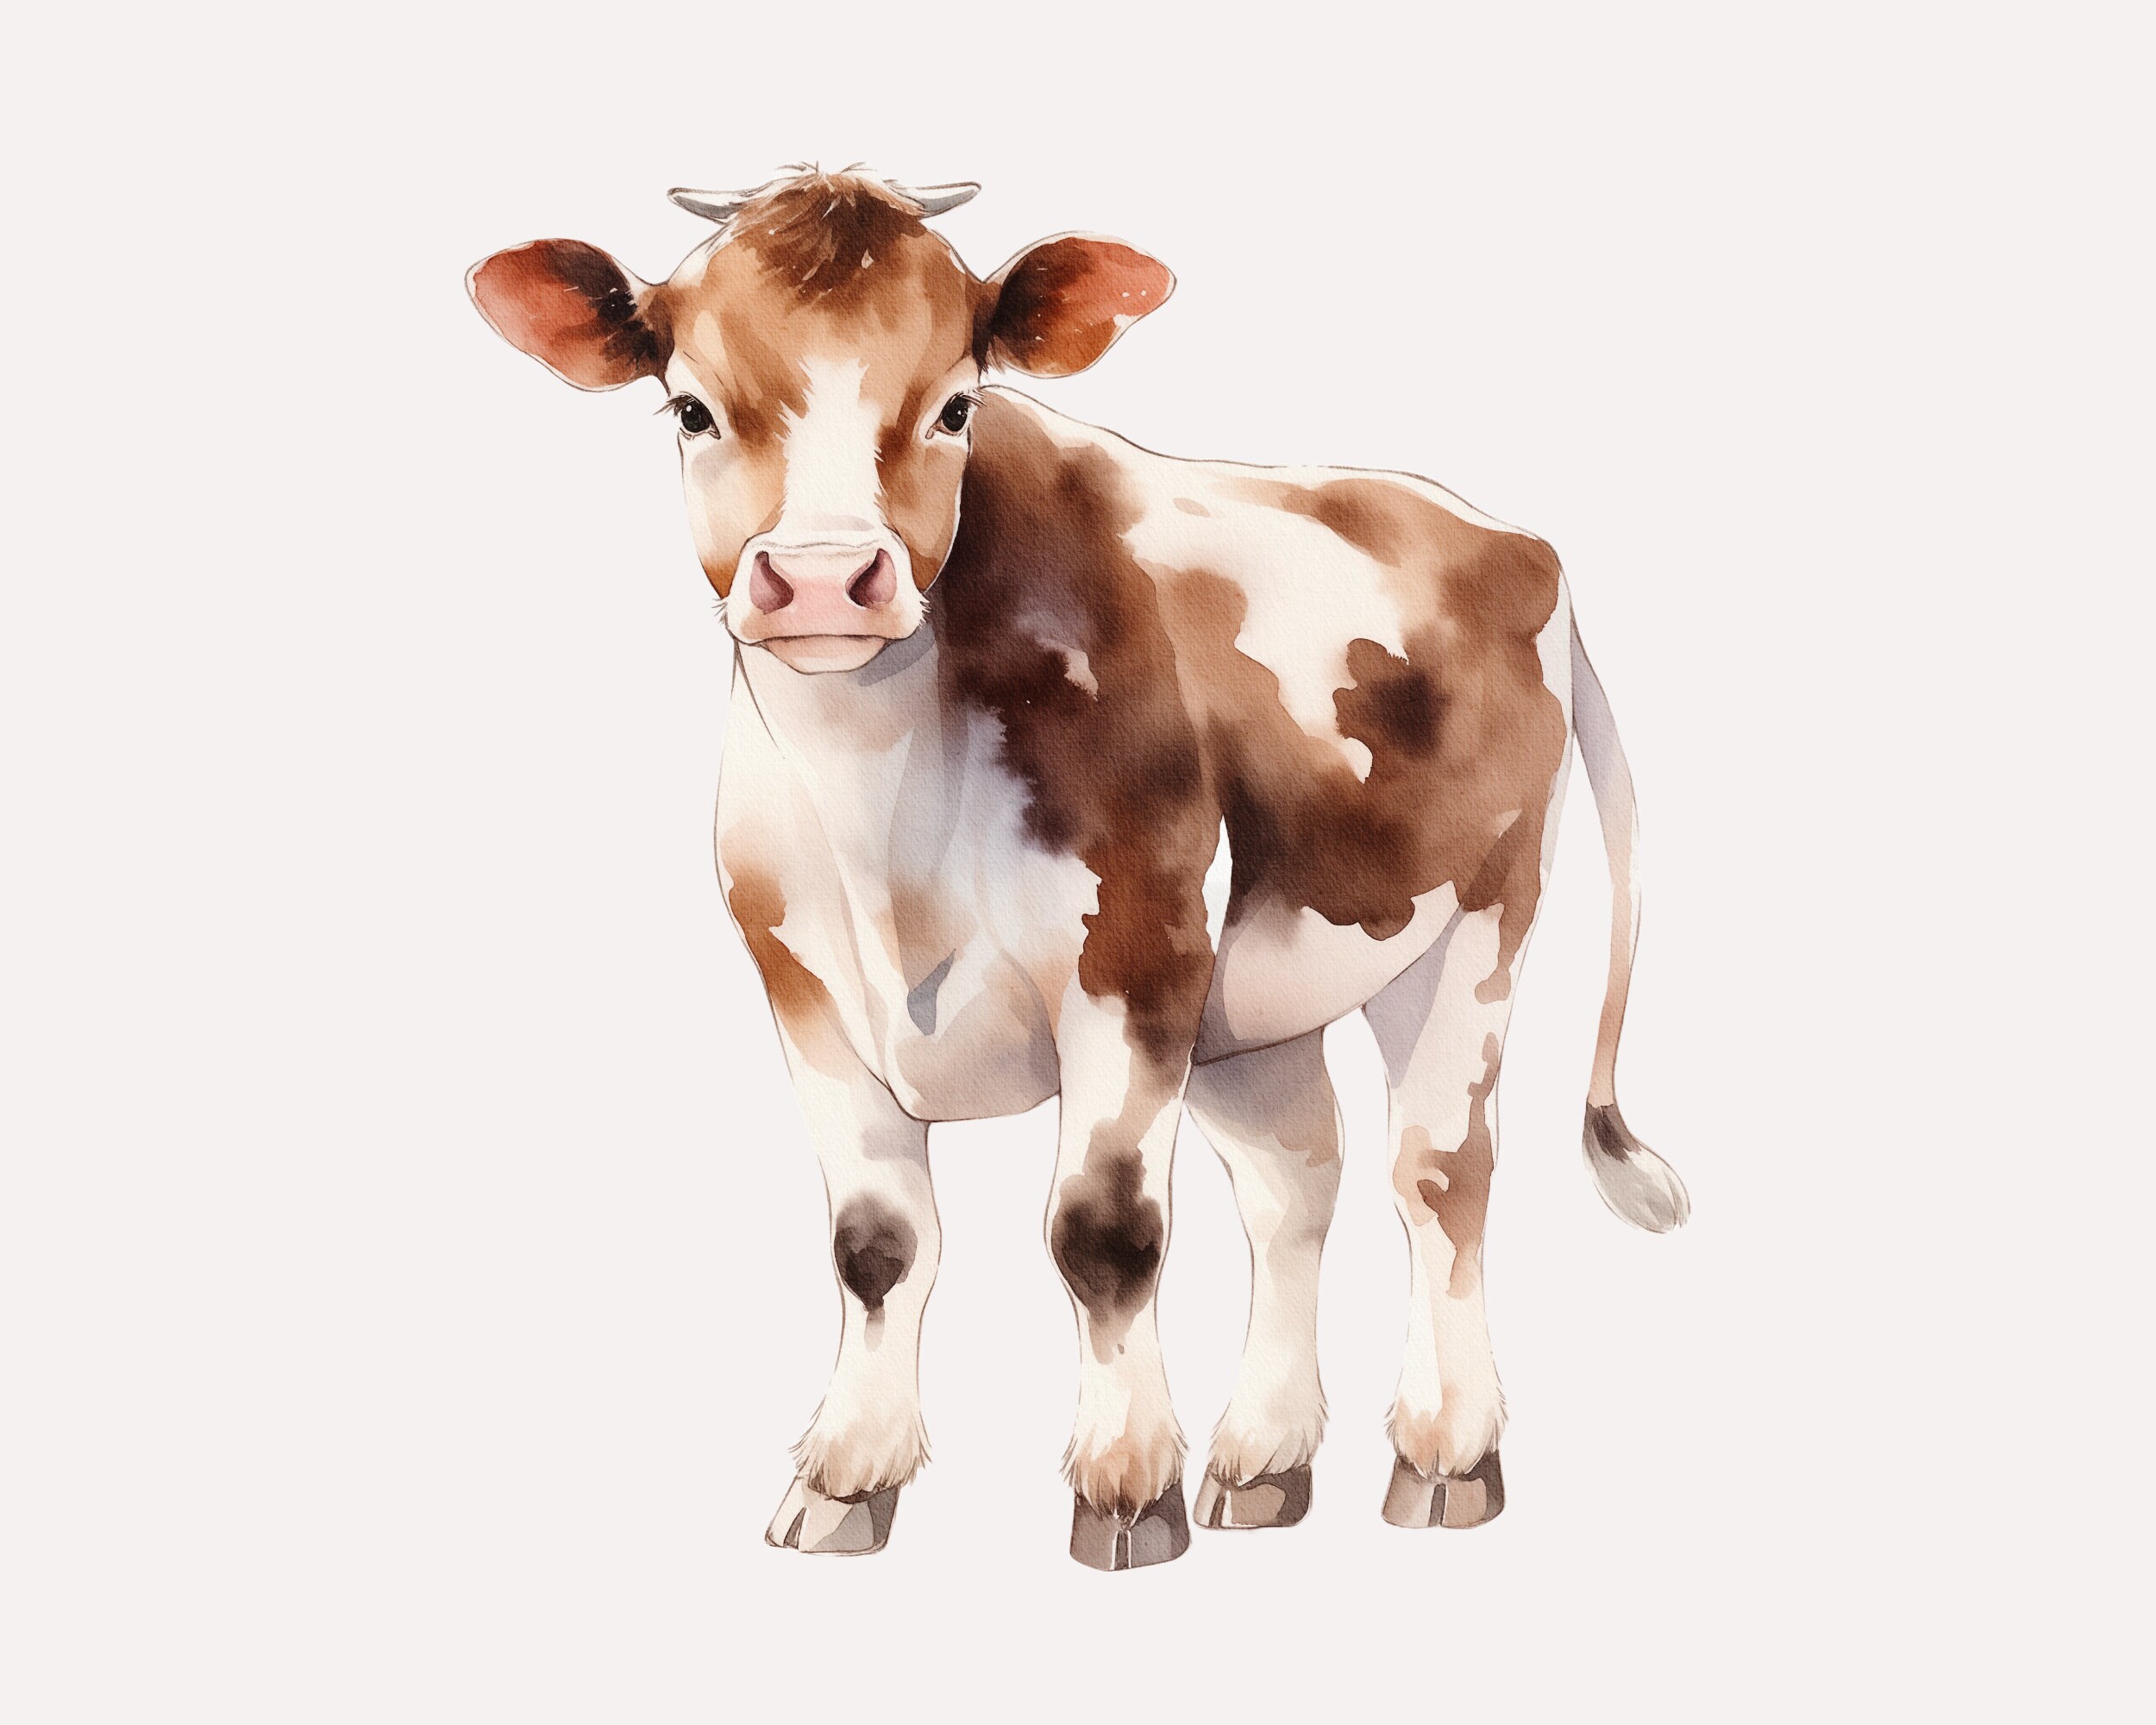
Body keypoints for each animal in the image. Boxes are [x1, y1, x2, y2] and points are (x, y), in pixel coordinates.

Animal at [467, 166, 1689, 1571]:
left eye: (955, 402)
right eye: (689, 406)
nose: (824, 578)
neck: (888, 822)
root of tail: (1509, 536)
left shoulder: (1133, 953)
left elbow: (1103, 1233)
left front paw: (1122, 1489)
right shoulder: (802, 986)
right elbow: (876, 1244)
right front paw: (847, 1478)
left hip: (1472, 926)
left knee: (1439, 1176)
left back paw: (1444, 1455)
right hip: (1249, 1006)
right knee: (1295, 1185)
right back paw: (1262, 1459)